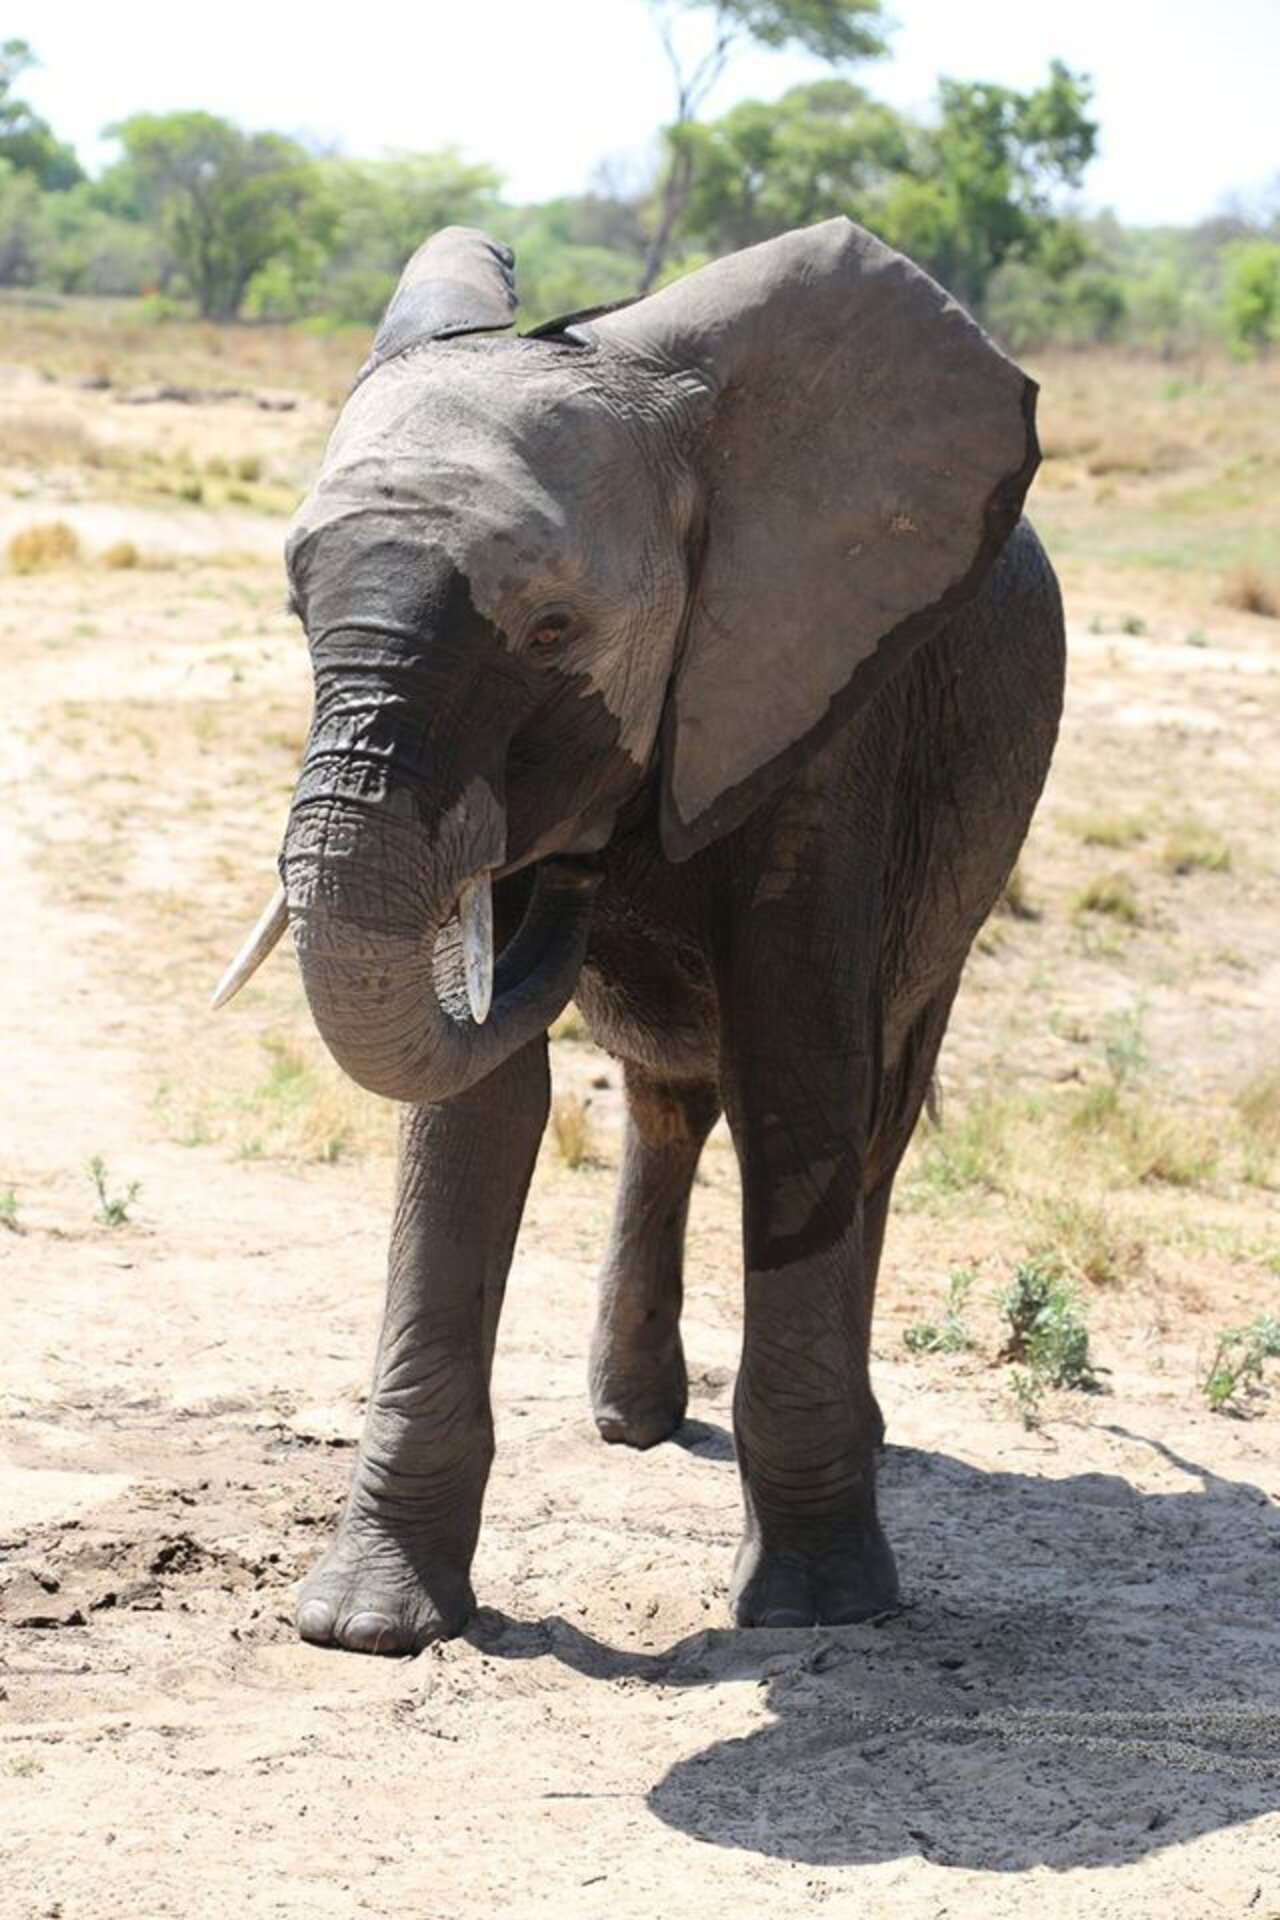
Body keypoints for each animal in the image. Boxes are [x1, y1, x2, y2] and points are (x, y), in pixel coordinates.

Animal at [216, 217, 1065, 1655]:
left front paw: (821, 1610)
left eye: (555, 628)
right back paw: (633, 1423)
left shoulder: (824, 707)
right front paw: (371, 1626)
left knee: (881, 1114)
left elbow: (798, 1081)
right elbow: (480, 1100)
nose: (568, 878)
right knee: (668, 1105)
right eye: (293, 609)